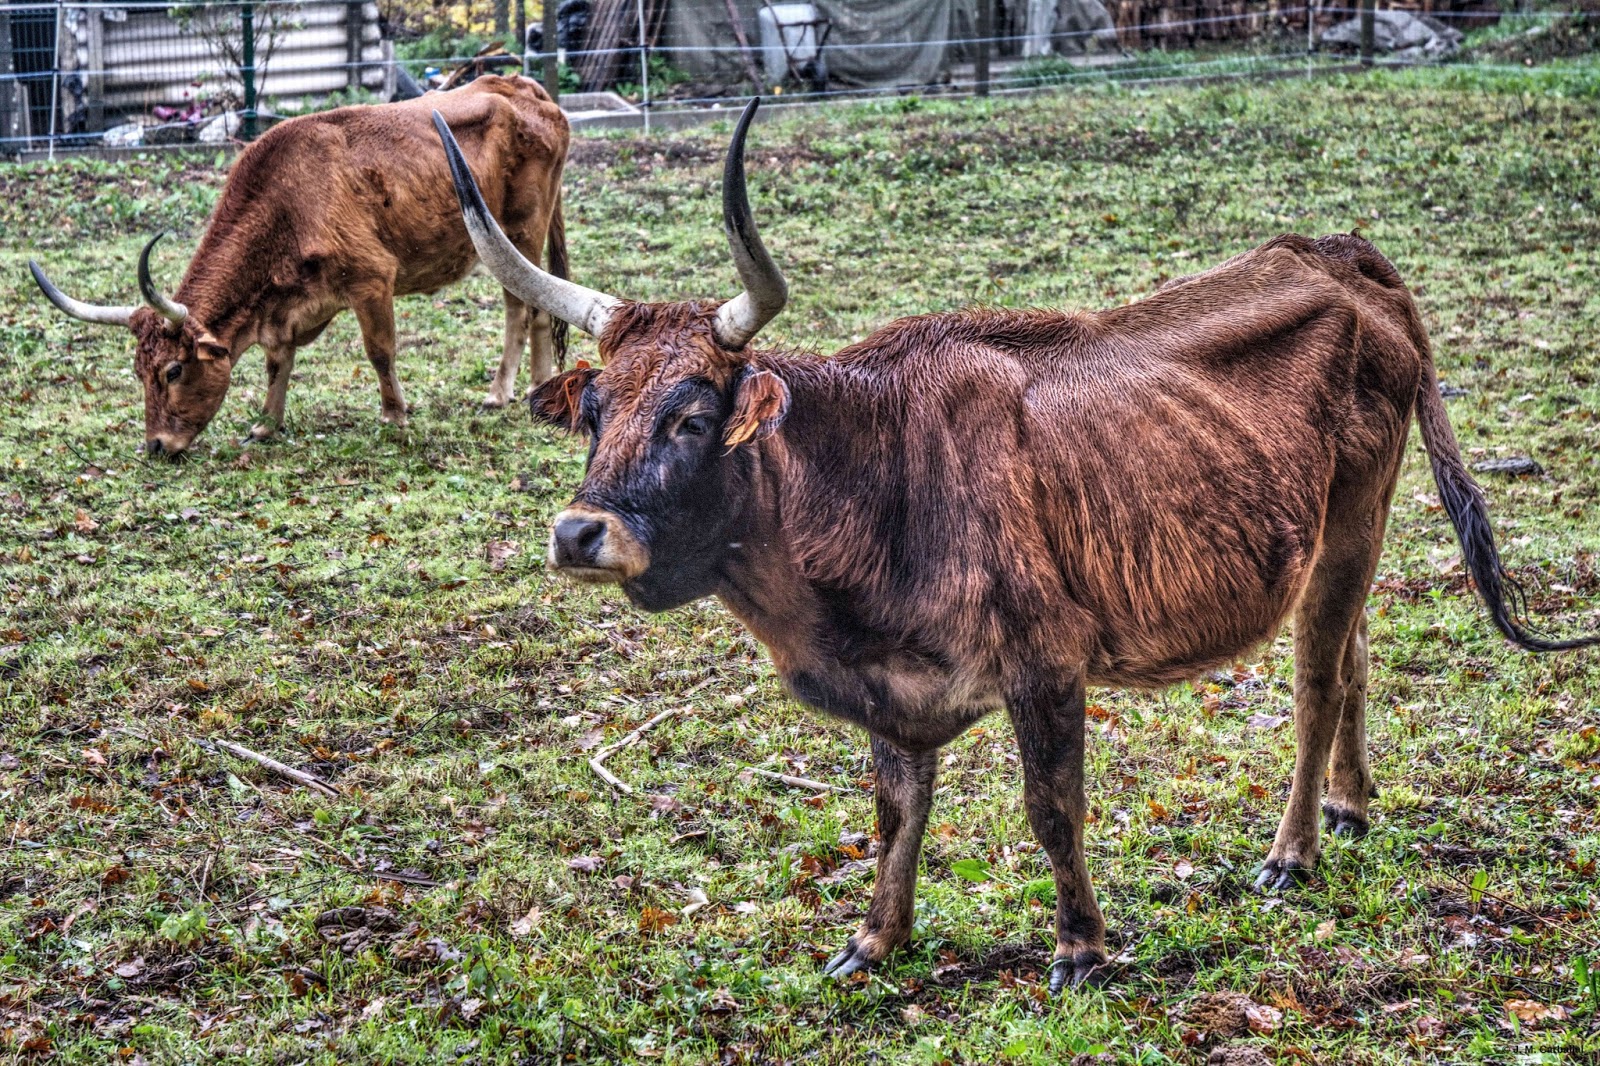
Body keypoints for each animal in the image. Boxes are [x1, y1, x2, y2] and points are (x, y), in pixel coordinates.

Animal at [28, 75, 570, 457]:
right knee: (527, 304)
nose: (157, 447)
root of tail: (523, 86)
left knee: (530, 307)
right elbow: (277, 363)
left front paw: (394, 416)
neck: (287, 200)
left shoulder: (373, 280)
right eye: (139, 372)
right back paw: (516, 390)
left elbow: (380, 353)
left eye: (174, 370)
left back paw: (521, 391)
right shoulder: (283, 310)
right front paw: (266, 424)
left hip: (521, 230)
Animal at [435, 99, 1600, 992]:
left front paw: (1081, 947)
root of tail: (1332, 253)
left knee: (1318, 681)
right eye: (595, 414)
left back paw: (1293, 850)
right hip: (1334, 542)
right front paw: (875, 938)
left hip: (1352, 522)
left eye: (688, 416)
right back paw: (1350, 808)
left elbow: (1052, 808)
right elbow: (895, 809)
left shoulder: (1047, 664)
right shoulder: (894, 687)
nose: (580, 532)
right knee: (1355, 655)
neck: (877, 474)